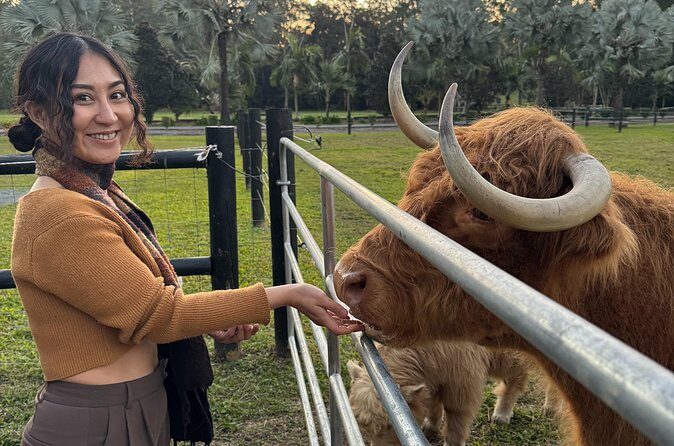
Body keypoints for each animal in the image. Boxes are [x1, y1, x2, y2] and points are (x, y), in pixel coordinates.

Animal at [347, 341, 529, 446]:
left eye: (391, 425)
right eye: (361, 422)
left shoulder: (462, 382)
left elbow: (456, 420)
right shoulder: (434, 374)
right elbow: (433, 403)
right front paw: (431, 426)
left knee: (515, 376)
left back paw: (502, 414)